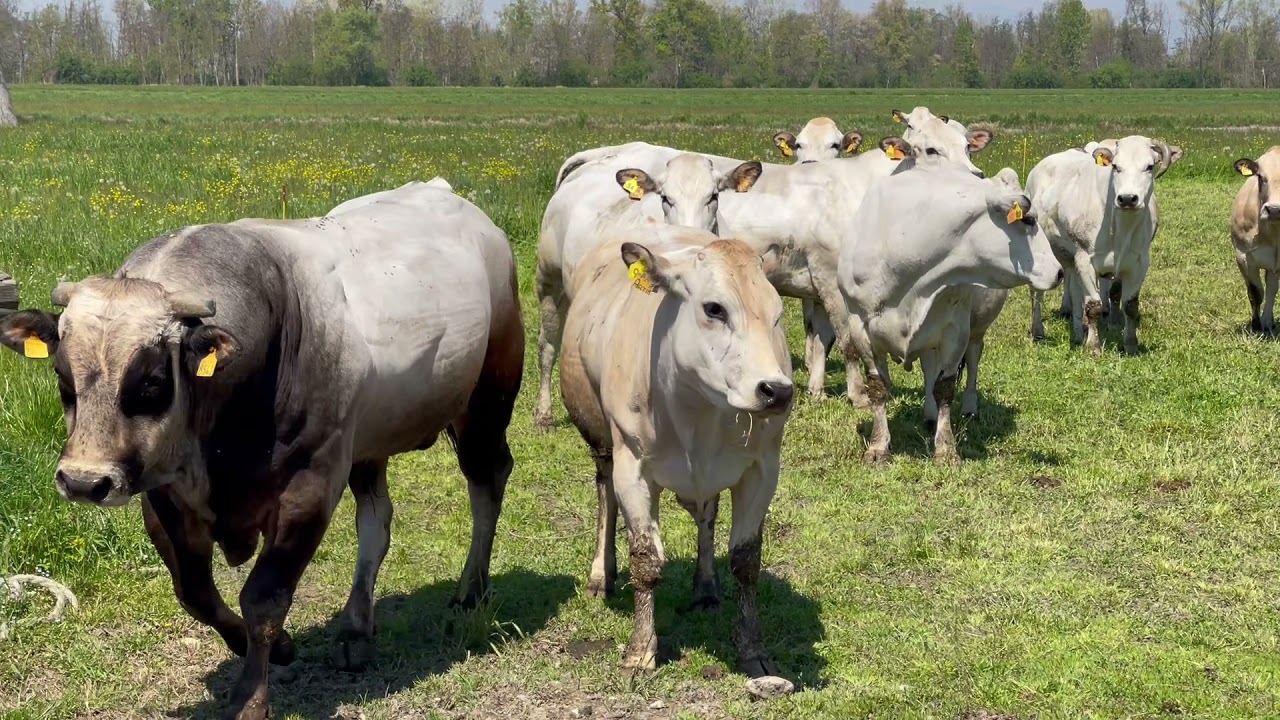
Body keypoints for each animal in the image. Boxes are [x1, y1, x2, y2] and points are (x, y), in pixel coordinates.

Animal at [0, 181, 524, 720]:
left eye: (152, 382)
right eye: (63, 377)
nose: (84, 482)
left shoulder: (310, 487)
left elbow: (264, 599)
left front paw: (251, 695)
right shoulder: (164, 494)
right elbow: (194, 592)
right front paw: (278, 648)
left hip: (488, 400)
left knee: (488, 481)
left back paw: (472, 589)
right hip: (368, 443)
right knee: (376, 521)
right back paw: (356, 628)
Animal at [559, 226, 793, 680]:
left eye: (776, 313)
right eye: (715, 308)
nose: (776, 391)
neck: (698, 410)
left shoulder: (762, 468)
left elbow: (746, 561)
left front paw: (752, 648)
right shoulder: (632, 468)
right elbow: (646, 560)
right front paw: (640, 651)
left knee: (707, 517)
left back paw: (705, 586)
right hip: (599, 439)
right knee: (604, 495)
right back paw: (600, 575)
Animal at [837, 165, 1062, 465]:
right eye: (1028, 220)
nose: (1059, 272)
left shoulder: (955, 330)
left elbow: (945, 388)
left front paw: (945, 448)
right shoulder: (860, 326)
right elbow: (878, 388)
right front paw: (878, 446)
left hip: (975, 330)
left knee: (973, 360)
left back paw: (968, 407)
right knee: (929, 367)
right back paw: (929, 415)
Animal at [1025, 136, 1182, 354]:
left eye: (1150, 166)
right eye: (1116, 166)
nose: (1127, 198)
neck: (1120, 226)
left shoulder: (1139, 263)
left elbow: (1129, 304)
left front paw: (1130, 344)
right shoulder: (1085, 260)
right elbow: (1093, 306)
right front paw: (1093, 347)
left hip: (1069, 257)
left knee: (1074, 292)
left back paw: (1077, 334)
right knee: (1036, 294)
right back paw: (1038, 331)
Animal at [1230, 147, 1280, 334]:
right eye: (1260, 177)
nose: (1275, 210)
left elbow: (1271, 291)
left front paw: (1265, 322)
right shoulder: (1243, 257)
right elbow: (1255, 293)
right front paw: (1256, 325)